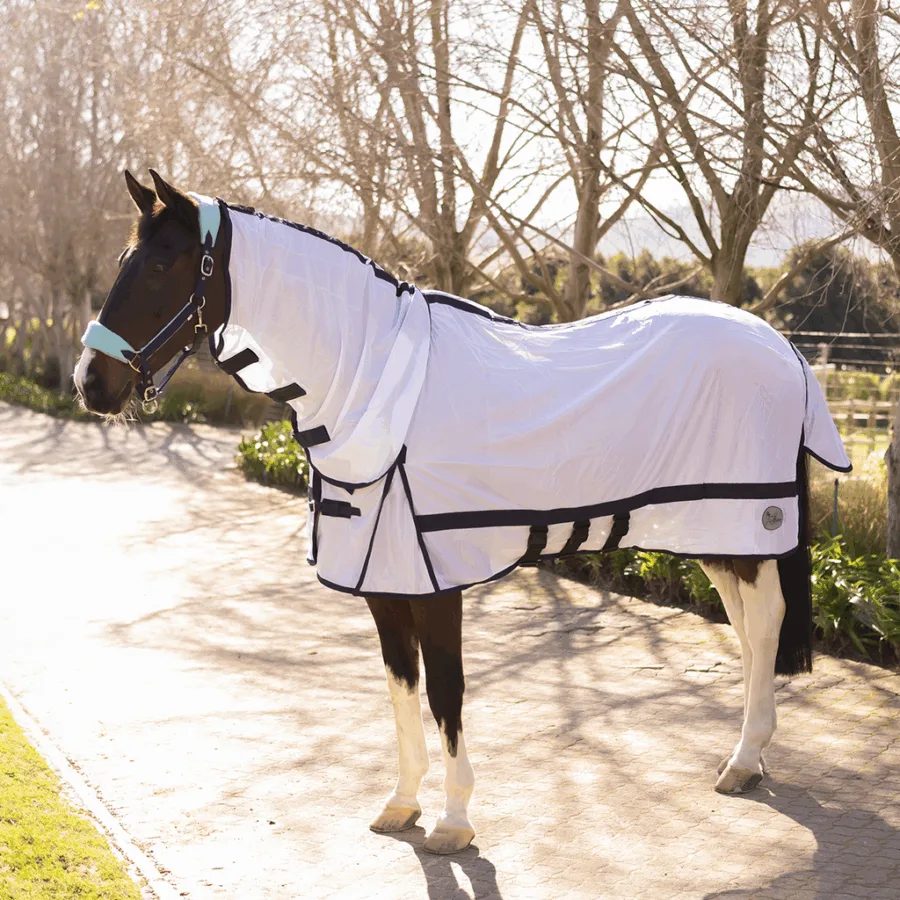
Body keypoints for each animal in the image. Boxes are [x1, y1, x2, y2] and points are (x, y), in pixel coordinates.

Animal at [74, 170, 850, 855]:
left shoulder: (434, 580)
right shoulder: (384, 586)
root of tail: (781, 346)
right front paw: (401, 803)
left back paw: (744, 760)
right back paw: (748, 757)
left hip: (743, 521)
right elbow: (401, 688)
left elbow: (446, 693)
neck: (374, 384)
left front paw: (453, 821)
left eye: (161, 266)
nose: (90, 383)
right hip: (709, 530)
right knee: (749, 629)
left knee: (766, 622)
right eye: (126, 260)